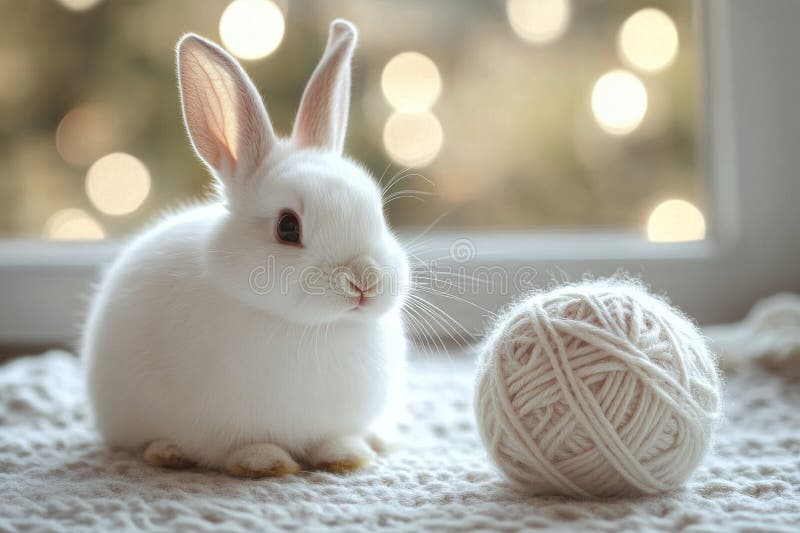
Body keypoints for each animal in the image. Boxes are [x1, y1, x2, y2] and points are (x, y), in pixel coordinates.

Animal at [82, 19, 410, 477]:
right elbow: (237, 448)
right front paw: (266, 463)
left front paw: (346, 456)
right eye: (287, 227)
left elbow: (334, 439)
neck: (314, 329)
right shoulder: (217, 427)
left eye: (377, 212)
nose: (365, 281)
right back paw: (167, 452)